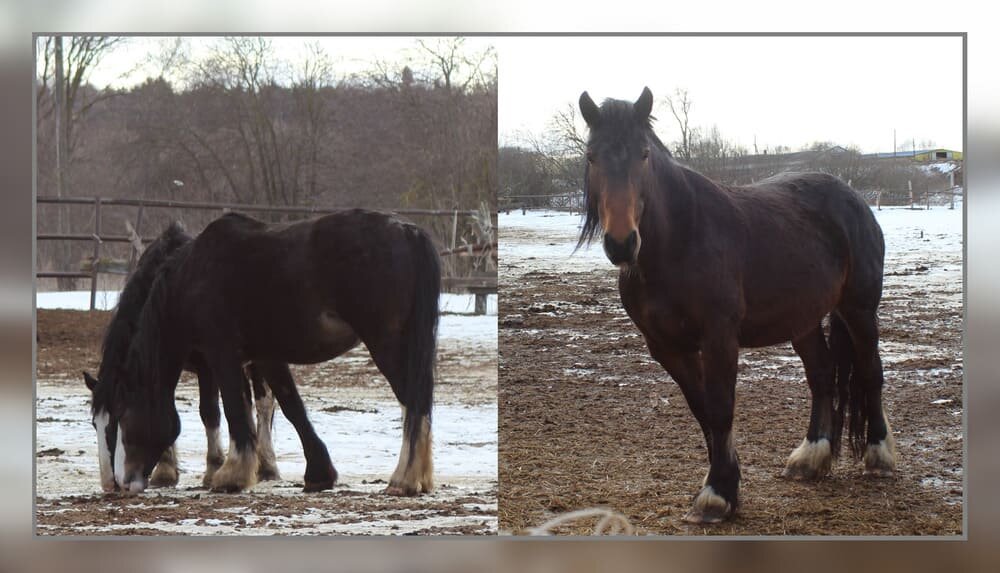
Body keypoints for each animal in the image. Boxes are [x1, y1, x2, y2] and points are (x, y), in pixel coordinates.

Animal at [84, 222, 284, 492]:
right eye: (95, 424)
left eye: (118, 419)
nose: (110, 484)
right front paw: (166, 471)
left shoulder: (208, 366)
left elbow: (210, 412)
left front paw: (213, 469)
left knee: (264, 403)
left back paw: (267, 466)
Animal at [576, 86, 896, 524]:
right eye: (592, 156)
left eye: (643, 153)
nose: (622, 243)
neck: (679, 243)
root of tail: (853, 197)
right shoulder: (666, 347)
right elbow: (702, 410)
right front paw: (726, 482)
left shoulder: (719, 338)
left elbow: (720, 407)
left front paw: (717, 495)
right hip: (803, 321)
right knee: (822, 375)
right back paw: (811, 457)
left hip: (859, 310)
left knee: (869, 372)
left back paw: (879, 456)